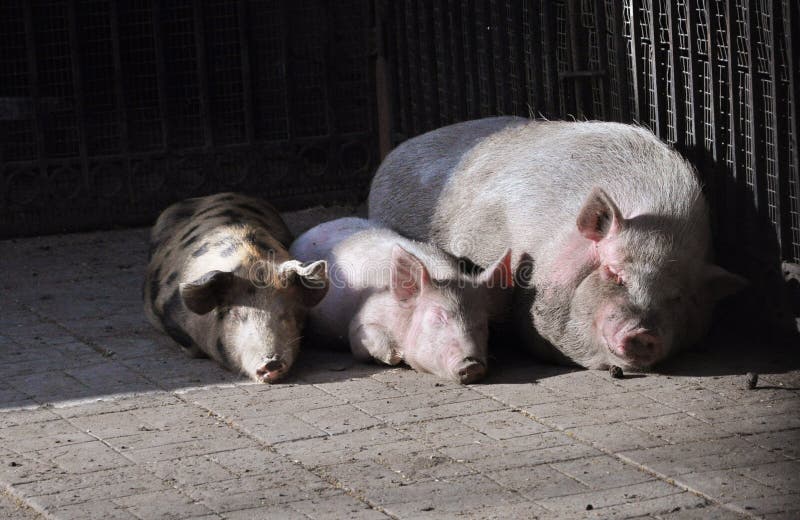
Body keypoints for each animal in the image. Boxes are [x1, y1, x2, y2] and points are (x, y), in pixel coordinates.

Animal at [290, 217, 513, 383]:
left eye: (482, 323)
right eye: (438, 317)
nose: (472, 365)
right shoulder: (362, 319)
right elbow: (361, 337)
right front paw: (394, 356)